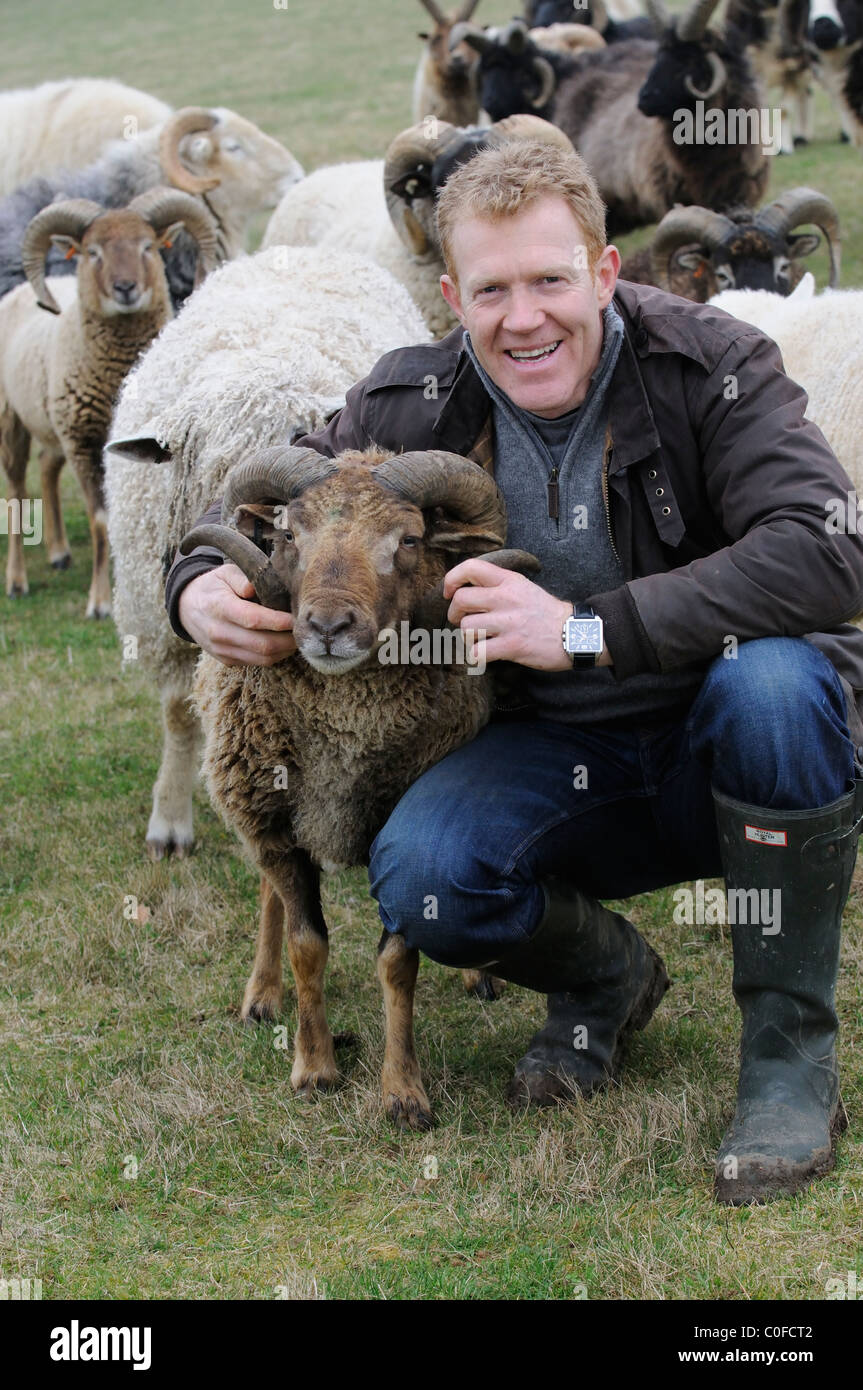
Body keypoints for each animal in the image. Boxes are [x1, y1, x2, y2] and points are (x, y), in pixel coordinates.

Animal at [0, 190, 218, 616]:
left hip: (52, 428)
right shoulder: (82, 442)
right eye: (92, 252)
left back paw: (59, 552)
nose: (126, 288)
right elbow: (100, 521)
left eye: (148, 246)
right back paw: (17, 580)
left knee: (47, 468)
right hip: (11, 417)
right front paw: (100, 601)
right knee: (16, 488)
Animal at [175, 445, 537, 1127]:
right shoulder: (277, 828)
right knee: (267, 894)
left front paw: (403, 1091)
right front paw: (314, 1067)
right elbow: (306, 945)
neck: (345, 736)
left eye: (410, 540)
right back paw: (262, 995)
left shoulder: (392, 832)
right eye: (289, 534)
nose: (328, 625)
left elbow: (398, 961)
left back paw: (478, 977)